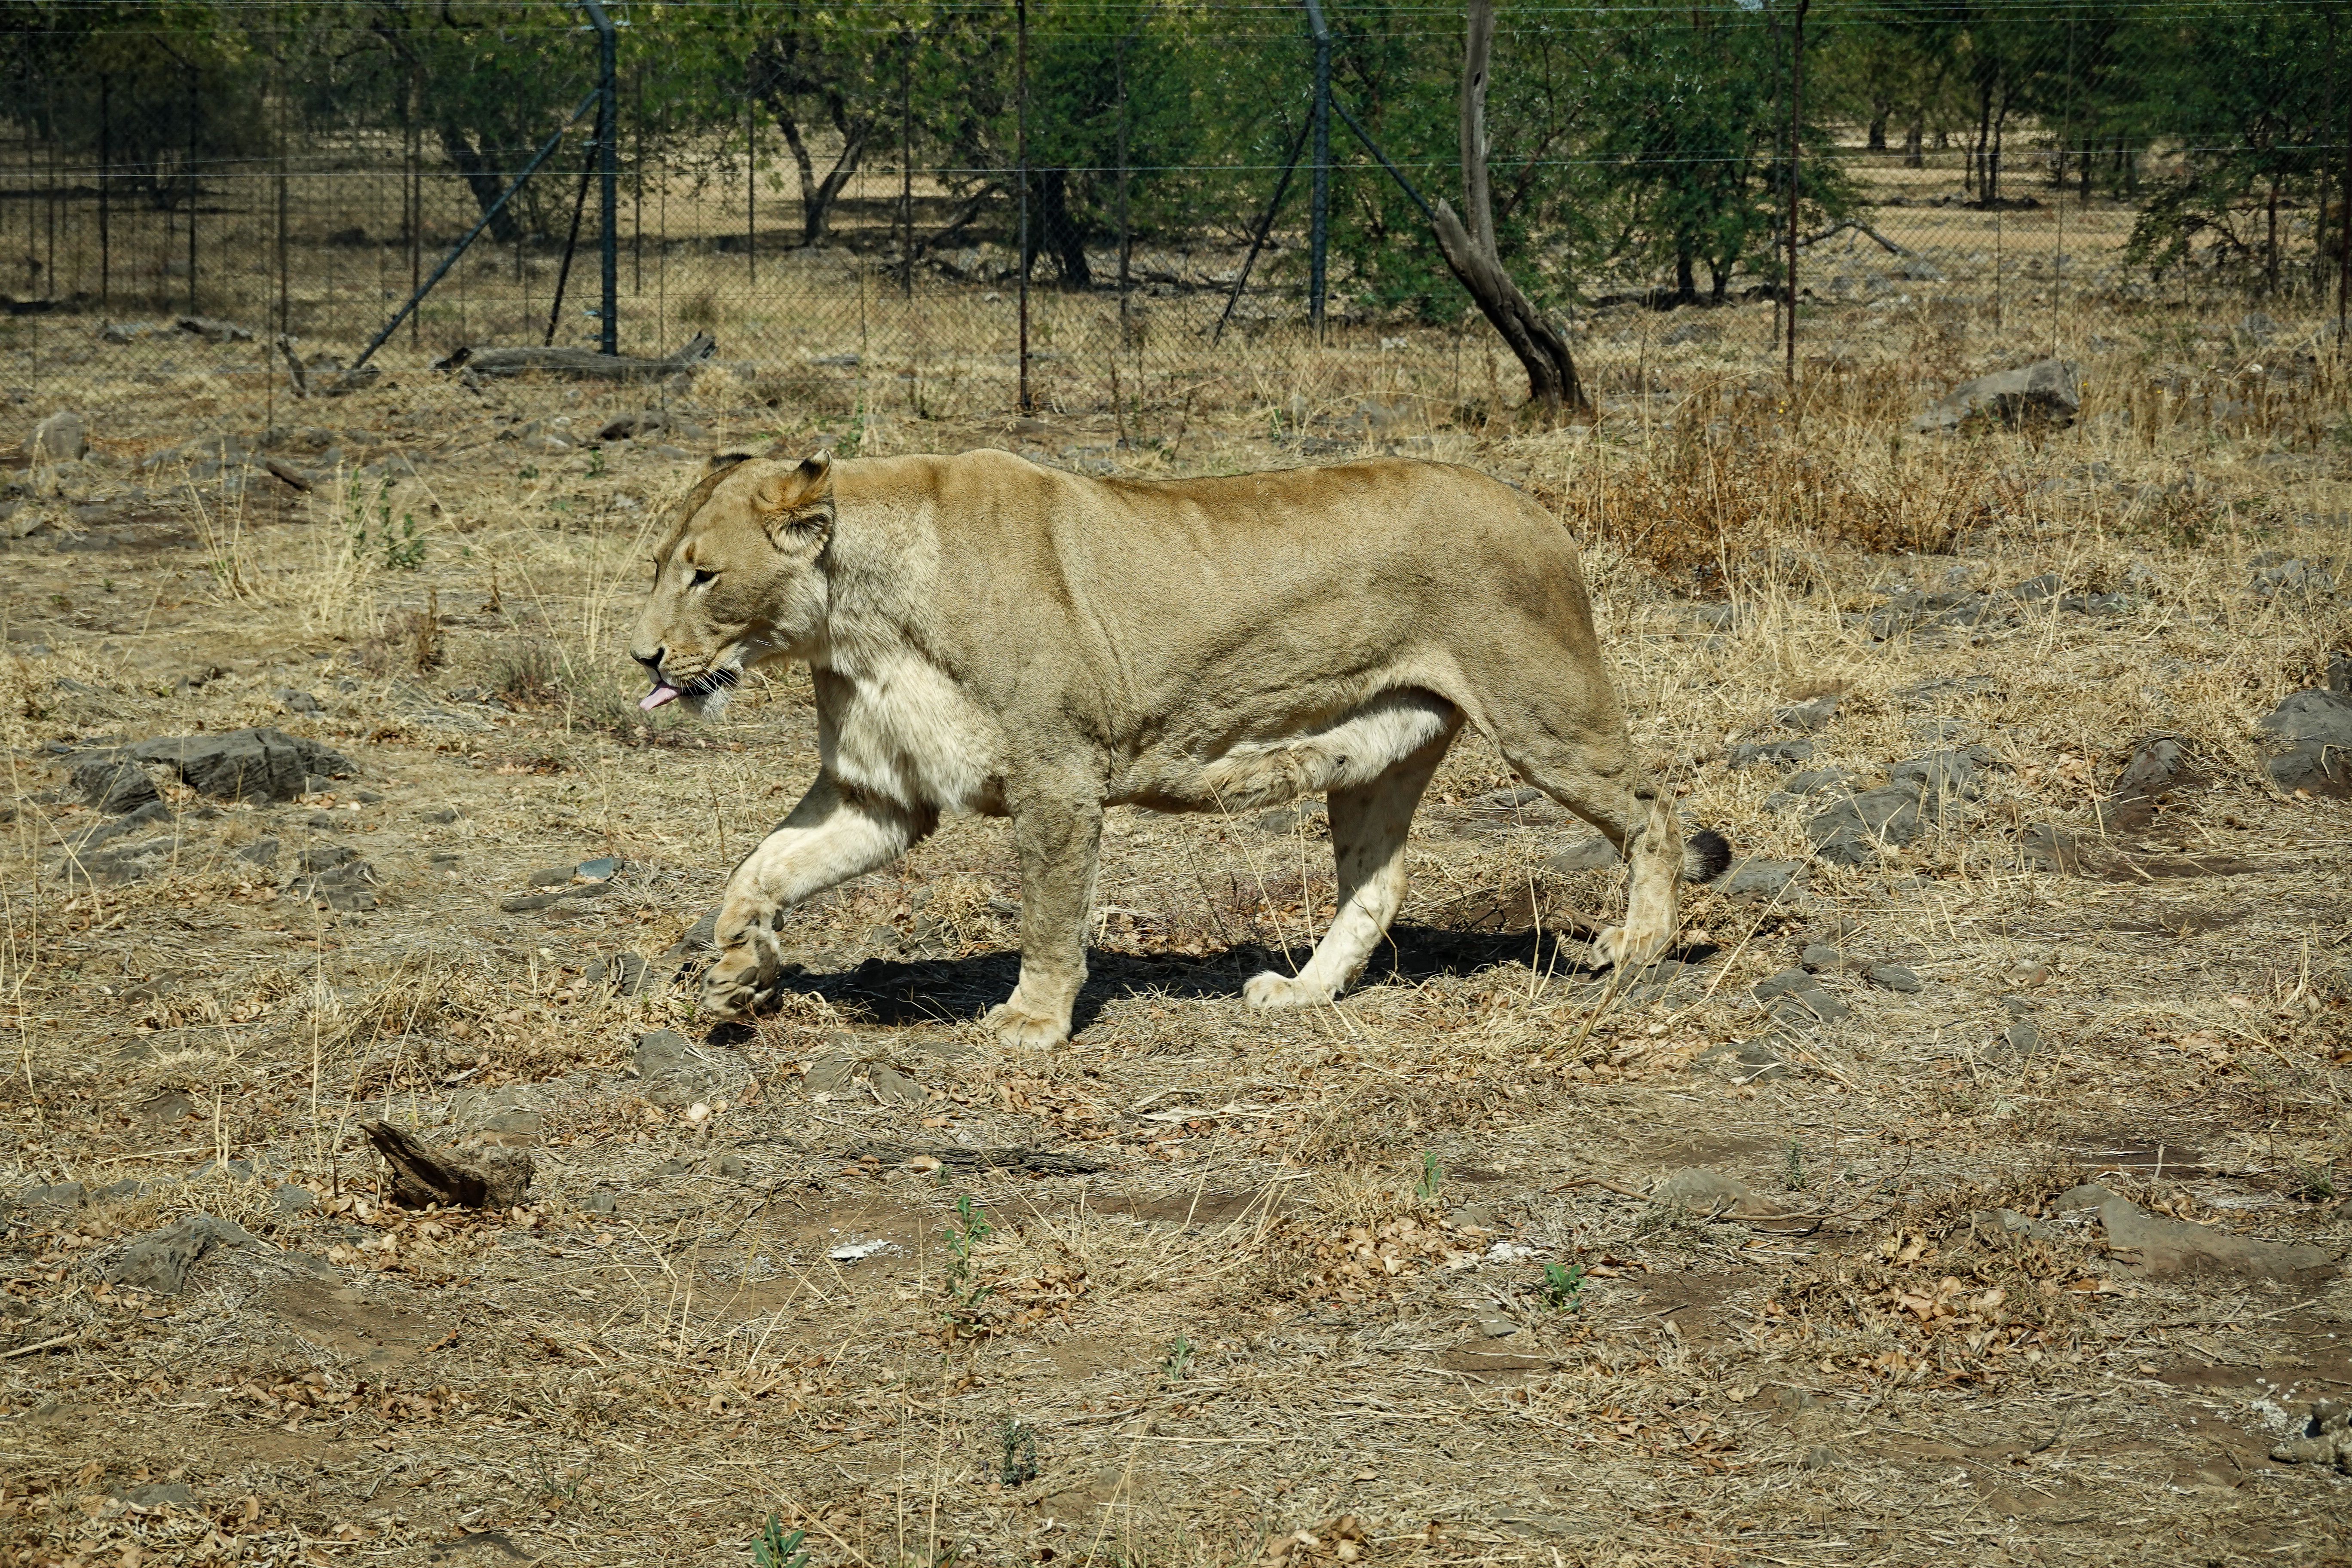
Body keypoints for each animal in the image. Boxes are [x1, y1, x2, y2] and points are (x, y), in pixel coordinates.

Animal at [631, 448, 1729, 1047]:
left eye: (701, 575)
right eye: (659, 570)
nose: (644, 654)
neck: (854, 621)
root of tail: (1537, 507)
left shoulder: (1057, 774)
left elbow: (1050, 915)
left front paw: (1031, 1025)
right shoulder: (879, 792)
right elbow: (760, 868)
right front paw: (737, 970)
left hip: (1543, 715)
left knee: (1653, 809)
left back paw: (1636, 946)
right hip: (1383, 751)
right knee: (1379, 881)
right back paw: (1301, 993)